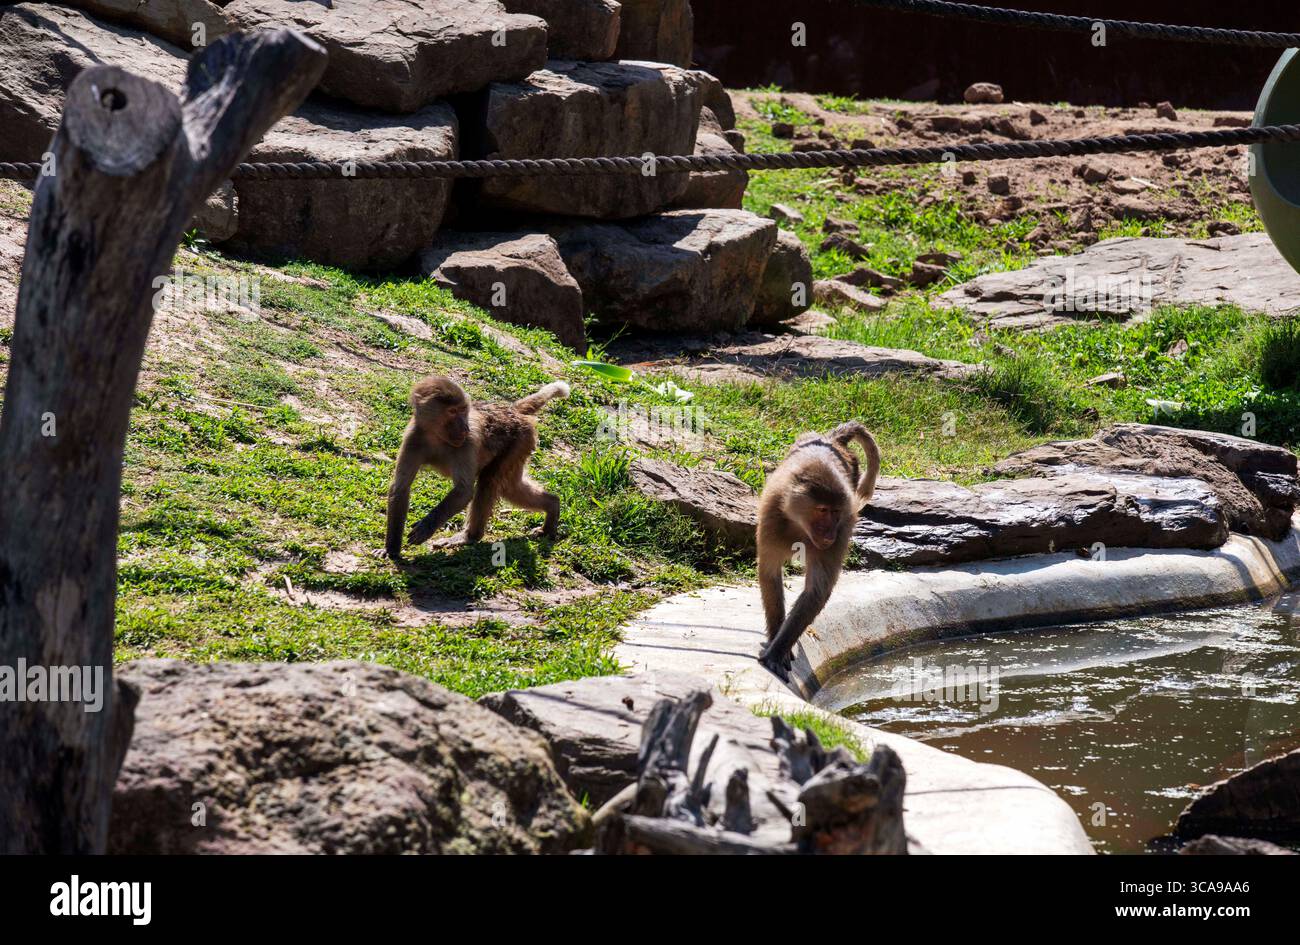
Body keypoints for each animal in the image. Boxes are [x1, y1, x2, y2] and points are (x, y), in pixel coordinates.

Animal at [385, 375, 570, 560]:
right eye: (452, 411)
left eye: (463, 410)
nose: (464, 427)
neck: (436, 436)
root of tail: (512, 411)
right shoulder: (413, 437)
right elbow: (400, 488)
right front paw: (391, 549)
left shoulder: (467, 443)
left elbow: (464, 491)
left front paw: (426, 527)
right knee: (511, 488)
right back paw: (552, 505)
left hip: (519, 441)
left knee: (489, 482)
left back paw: (470, 536)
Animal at [755, 422, 880, 683]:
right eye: (823, 510)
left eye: (835, 512)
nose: (829, 535)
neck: (799, 524)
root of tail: (830, 440)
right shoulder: (773, 513)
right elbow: (770, 574)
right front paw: (776, 642)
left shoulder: (845, 522)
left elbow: (817, 590)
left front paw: (778, 652)